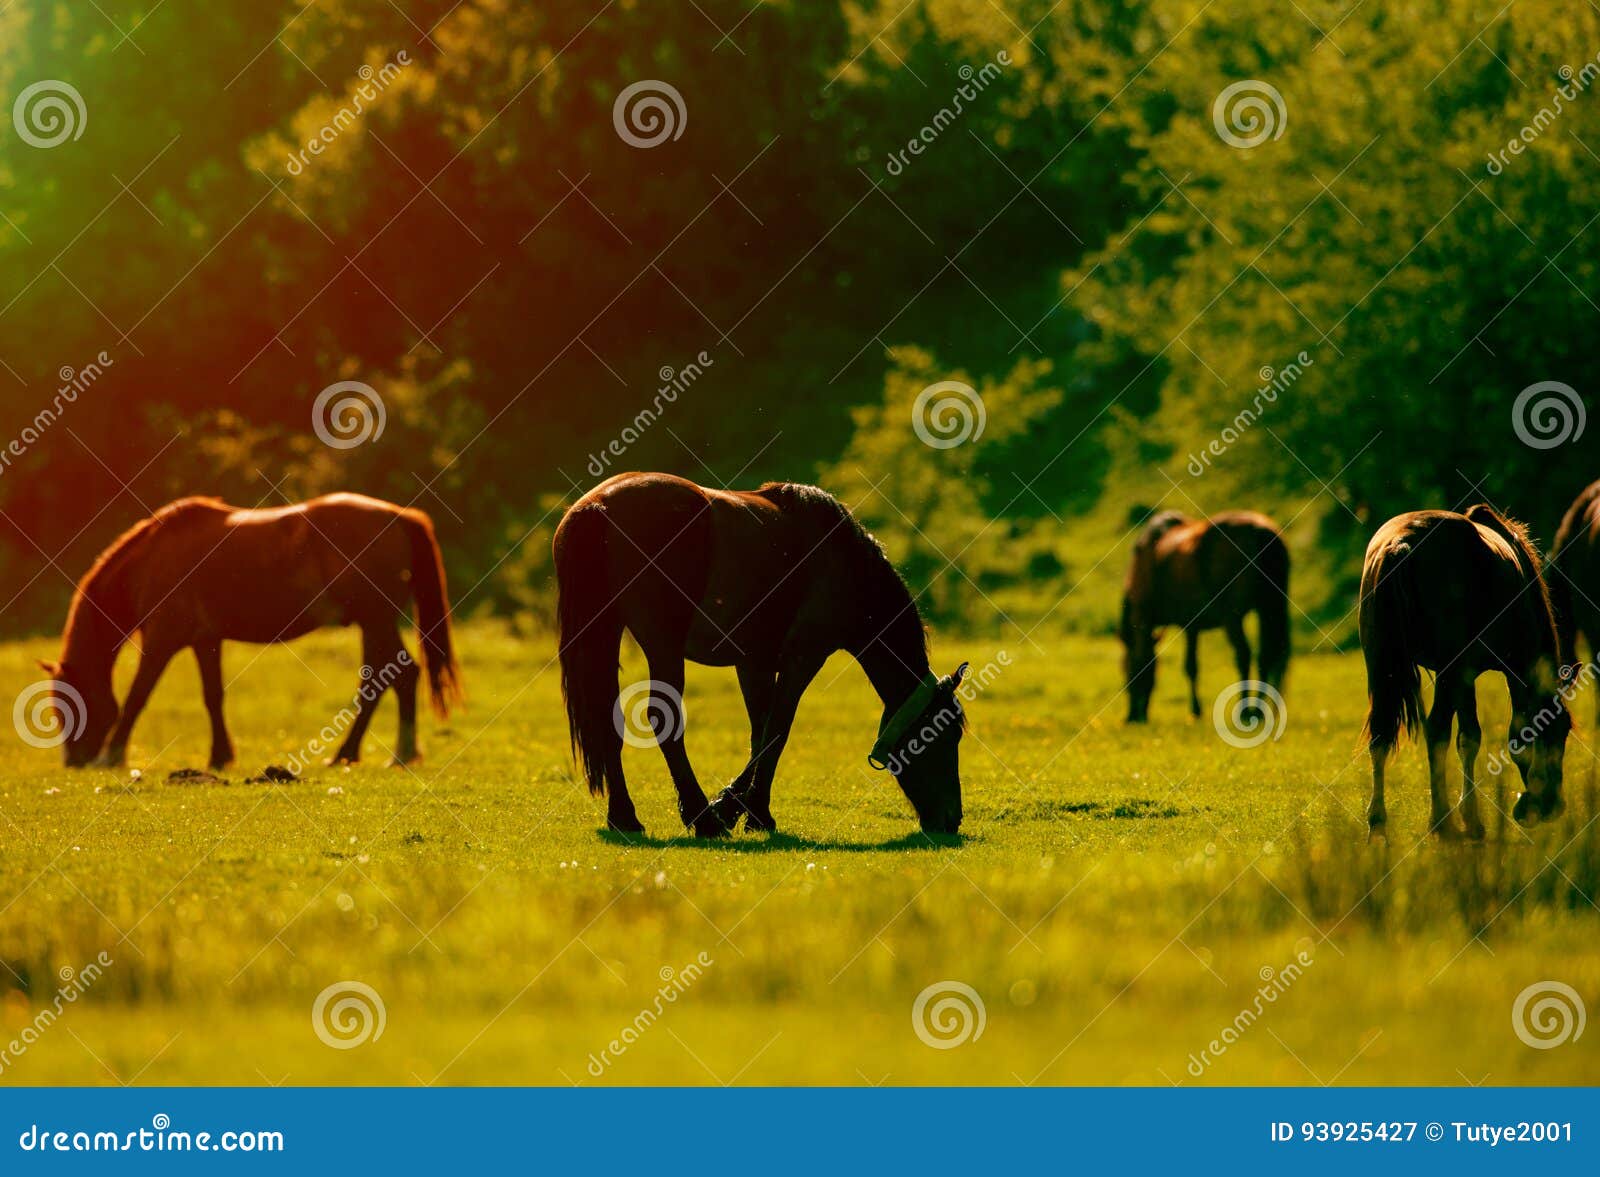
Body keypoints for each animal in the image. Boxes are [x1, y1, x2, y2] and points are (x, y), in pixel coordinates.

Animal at [38, 494, 460, 770]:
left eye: (66, 705)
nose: (73, 761)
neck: (153, 561)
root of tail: (399, 516)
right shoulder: (205, 641)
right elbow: (212, 697)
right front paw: (220, 756)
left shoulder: (161, 642)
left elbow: (136, 697)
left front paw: (112, 755)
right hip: (372, 623)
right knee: (379, 683)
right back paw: (349, 753)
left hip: (377, 620)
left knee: (403, 676)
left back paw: (399, 754)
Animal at [553, 472, 967, 838]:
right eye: (944, 737)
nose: (952, 819)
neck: (843, 563)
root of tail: (599, 504)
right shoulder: (804, 657)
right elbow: (778, 730)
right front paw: (750, 813)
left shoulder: (754, 662)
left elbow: (760, 731)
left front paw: (737, 806)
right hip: (661, 643)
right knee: (662, 718)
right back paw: (701, 818)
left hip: (609, 635)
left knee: (608, 719)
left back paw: (625, 817)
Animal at [1119, 509, 1290, 724]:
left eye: (1125, 670)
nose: (1132, 716)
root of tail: (1261, 529)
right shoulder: (1190, 626)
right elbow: (1191, 666)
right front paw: (1196, 710)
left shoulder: (1144, 617)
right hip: (1268, 607)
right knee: (1266, 655)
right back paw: (1259, 711)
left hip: (1233, 617)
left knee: (1243, 655)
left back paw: (1245, 710)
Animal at [1359, 504, 1571, 839]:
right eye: (1562, 730)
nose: (1552, 807)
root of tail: (1400, 544)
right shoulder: (1469, 671)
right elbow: (1470, 737)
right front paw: (1469, 818)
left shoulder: (1460, 676)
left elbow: (1465, 736)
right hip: (1448, 669)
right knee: (1436, 731)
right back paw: (1441, 821)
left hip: (1382, 665)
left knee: (1380, 735)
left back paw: (1378, 823)